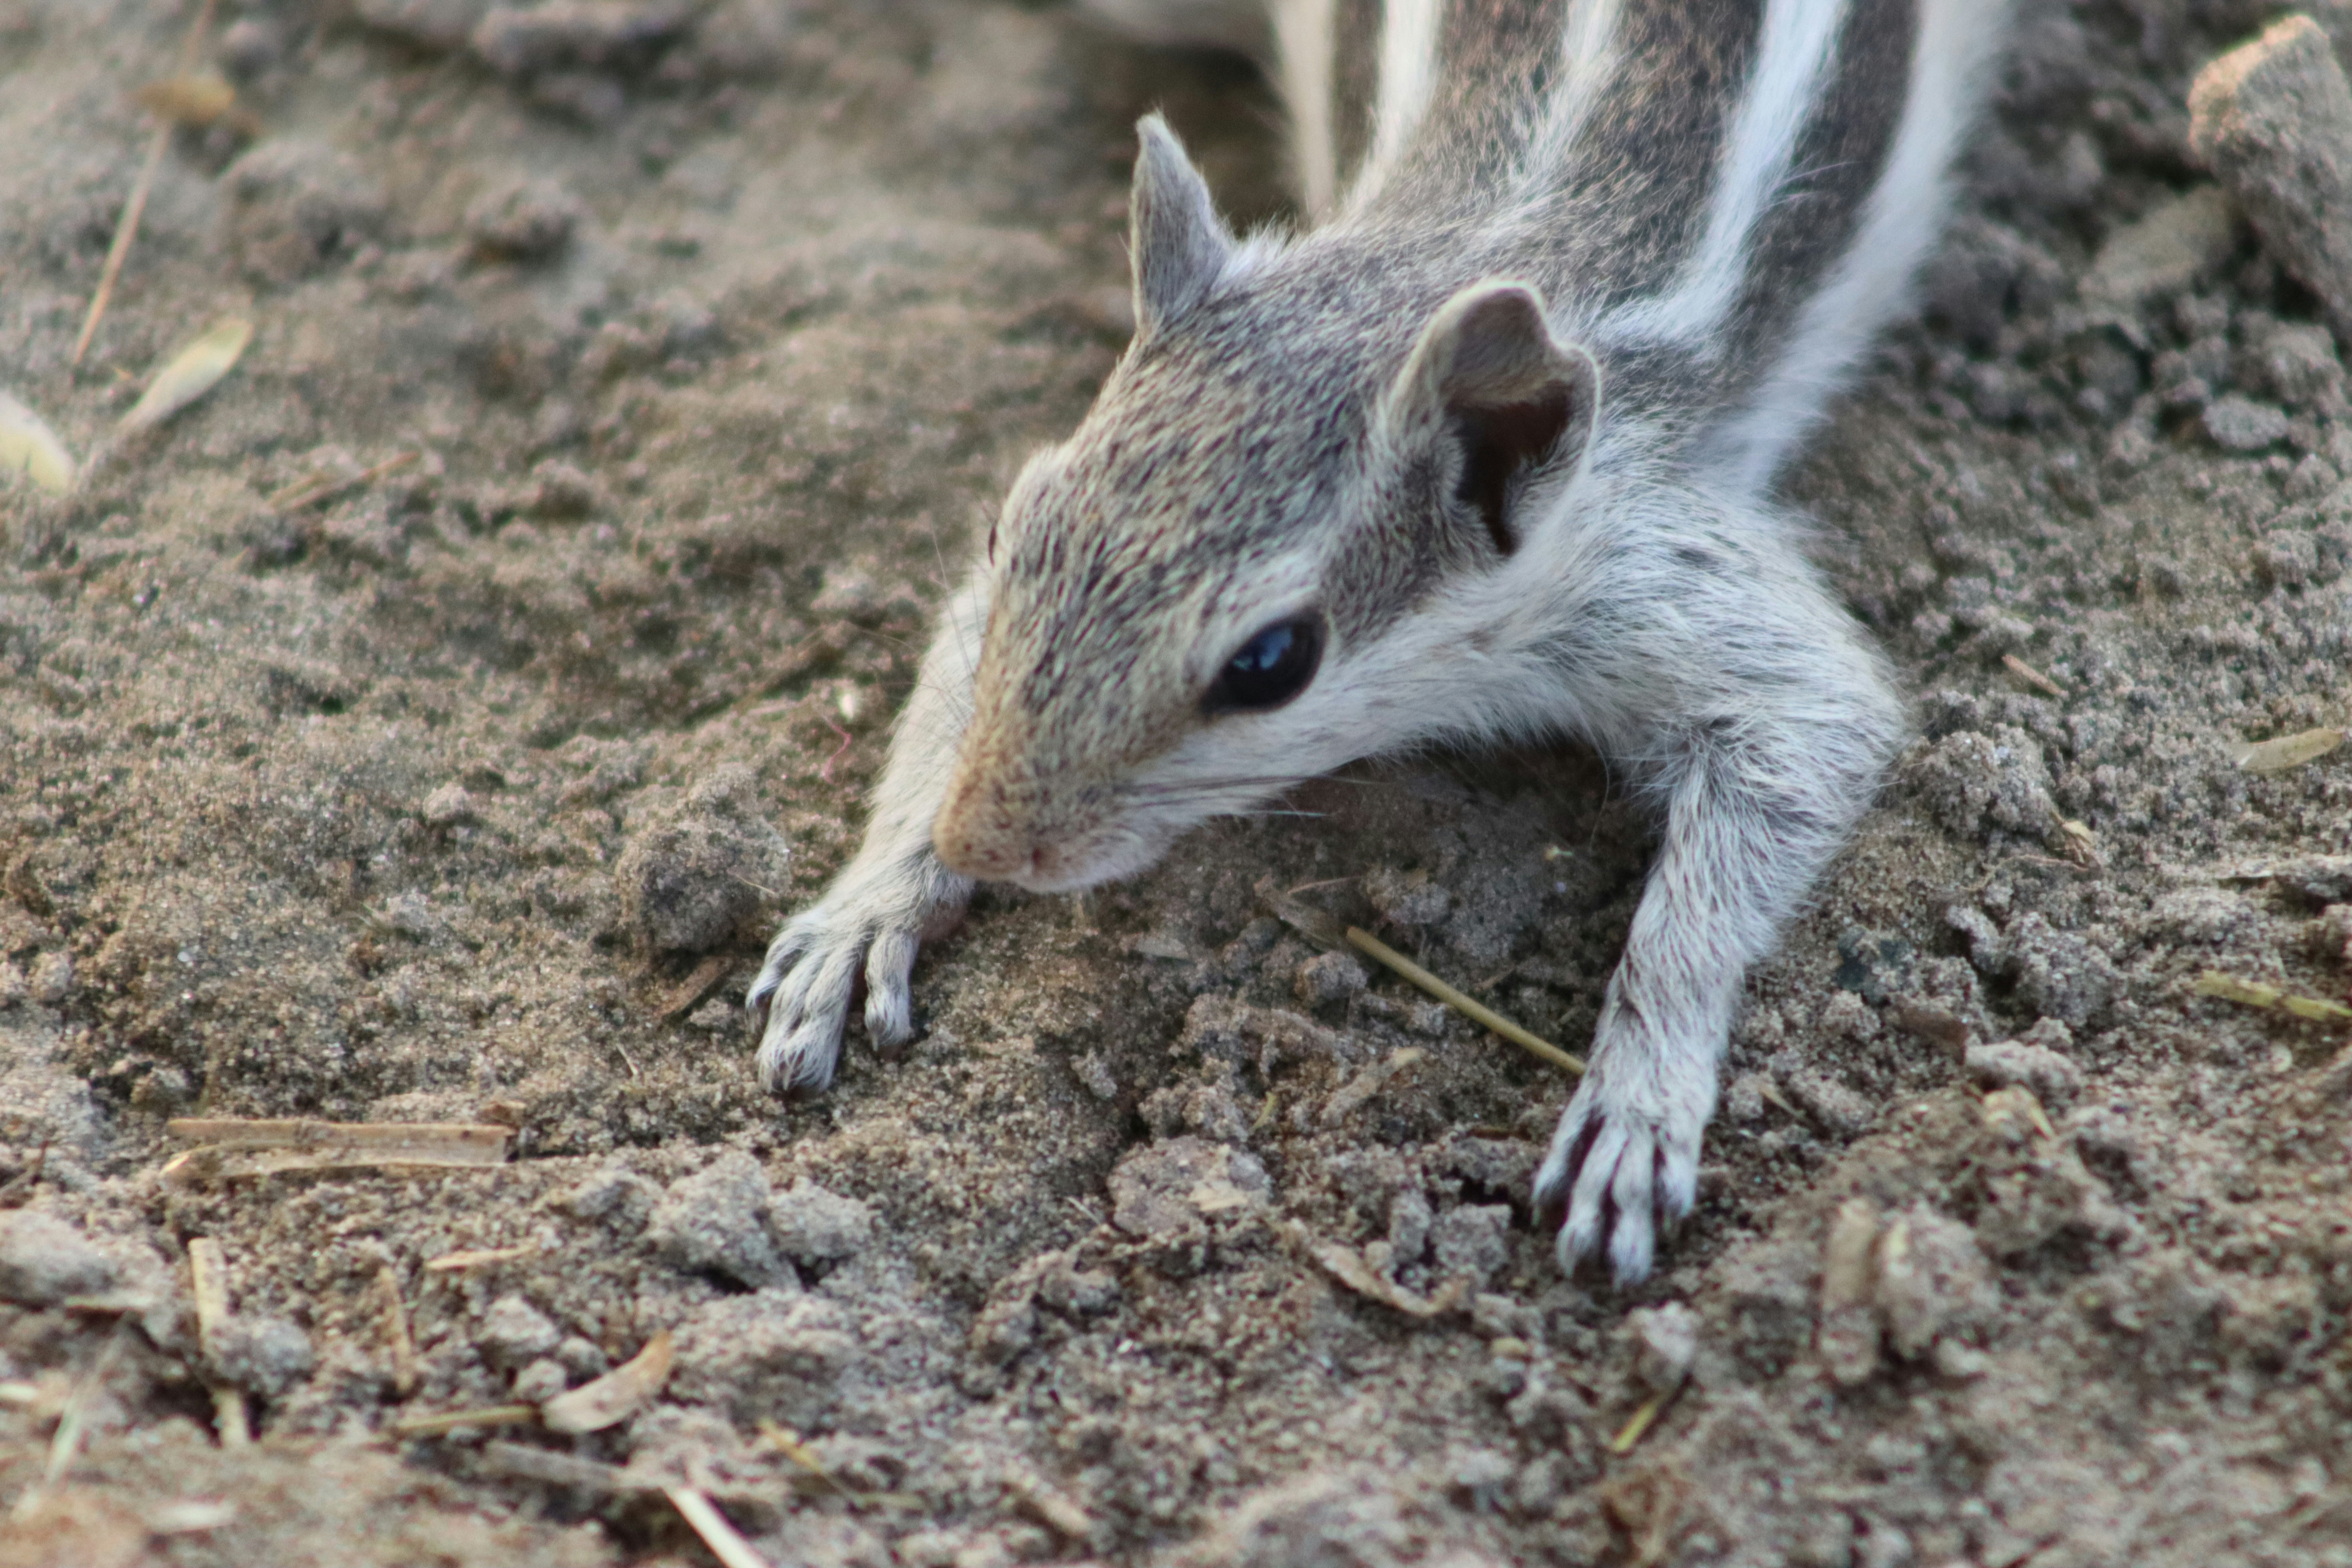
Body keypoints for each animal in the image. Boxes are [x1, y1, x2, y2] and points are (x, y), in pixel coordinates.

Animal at [750, 0, 2014, 1283]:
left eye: (1269, 662)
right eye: (1012, 524)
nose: (984, 840)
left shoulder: (1664, 573)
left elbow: (1807, 736)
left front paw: (1638, 1095)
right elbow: (952, 667)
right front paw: (874, 902)